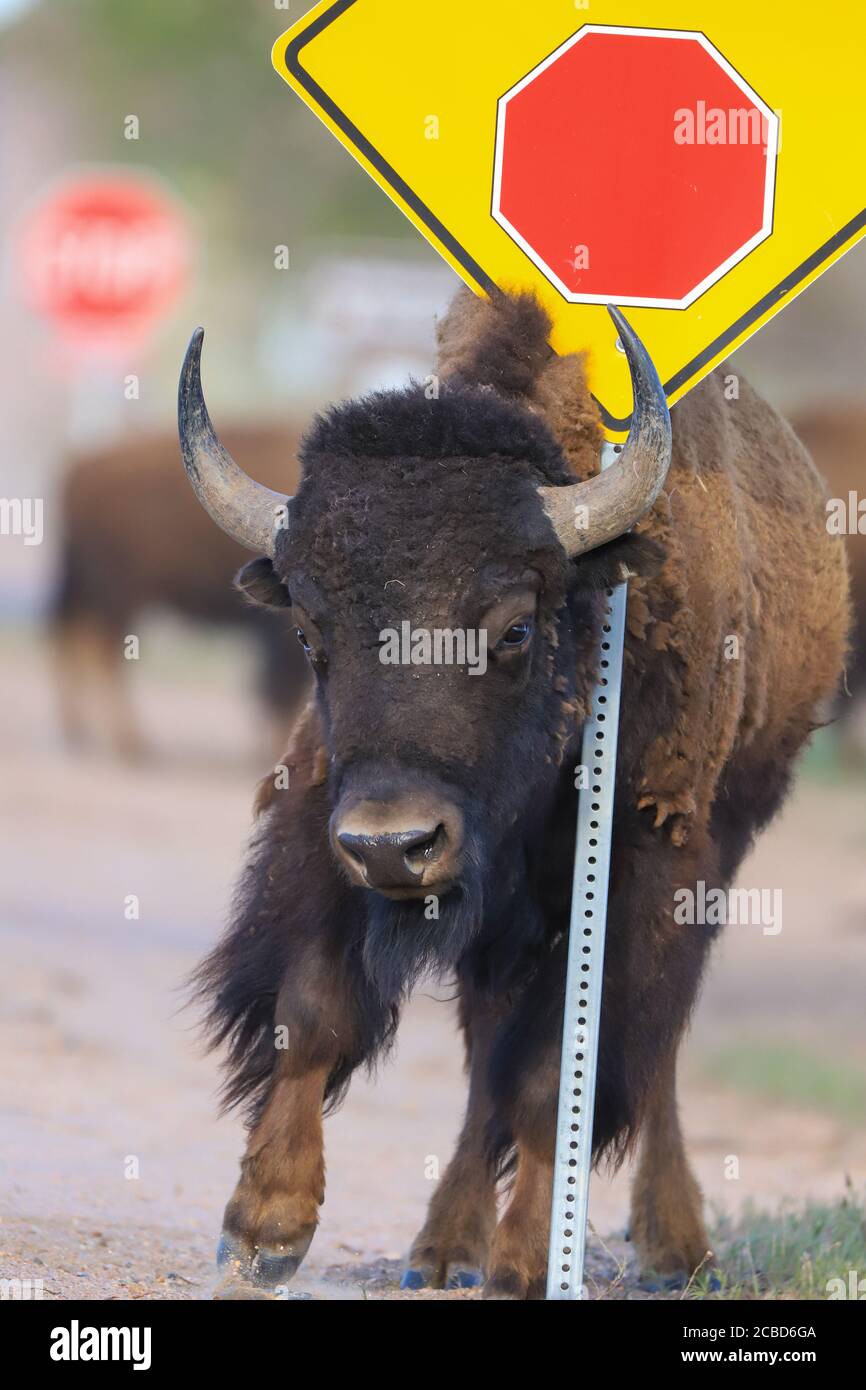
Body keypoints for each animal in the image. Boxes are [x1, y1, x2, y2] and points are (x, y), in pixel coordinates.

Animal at [183, 289, 849, 1298]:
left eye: (514, 629)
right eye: (308, 633)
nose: (396, 844)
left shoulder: (639, 880)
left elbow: (552, 1077)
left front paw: (525, 1265)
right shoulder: (329, 828)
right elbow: (315, 1007)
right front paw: (263, 1228)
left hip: (714, 856)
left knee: (646, 1055)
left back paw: (670, 1248)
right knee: (481, 1059)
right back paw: (441, 1251)